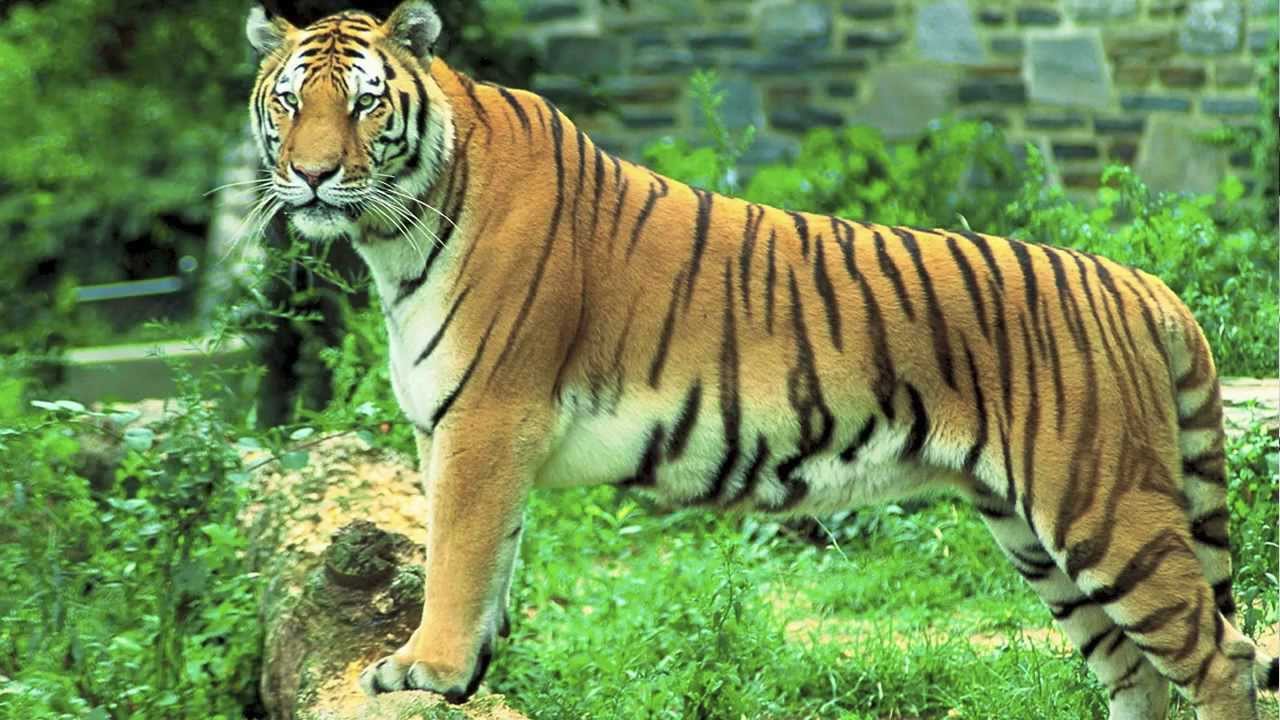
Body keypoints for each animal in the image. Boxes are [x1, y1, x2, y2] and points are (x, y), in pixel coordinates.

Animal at [245, 3, 1277, 717]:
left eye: (365, 104)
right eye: (290, 102)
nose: (312, 175)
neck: (395, 233)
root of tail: (1141, 284)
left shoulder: (487, 417)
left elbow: (458, 554)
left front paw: (428, 667)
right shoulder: (457, 429)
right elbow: (488, 554)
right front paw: (470, 672)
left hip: (1104, 506)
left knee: (1222, 656)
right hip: (1036, 534)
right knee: (1139, 674)